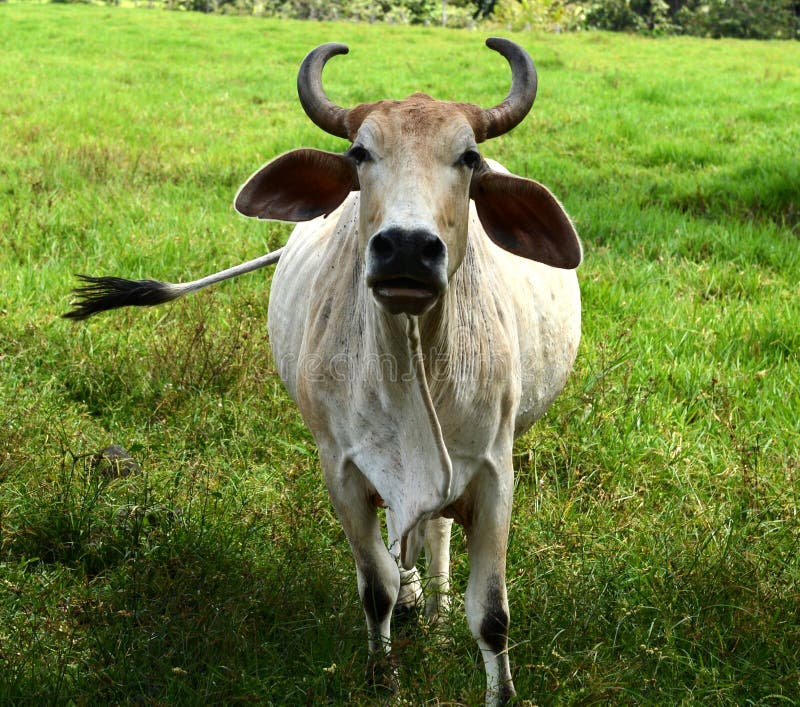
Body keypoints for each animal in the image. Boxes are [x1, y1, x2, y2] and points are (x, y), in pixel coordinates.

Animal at [66, 38, 582, 705]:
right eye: (360, 153)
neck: (408, 358)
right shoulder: (342, 471)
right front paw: (383, 674)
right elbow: (376, 586)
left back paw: (436, 609)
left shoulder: (495, 472)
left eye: (468, 157)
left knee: (436, 533)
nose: (407, 248)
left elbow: (491, 615)